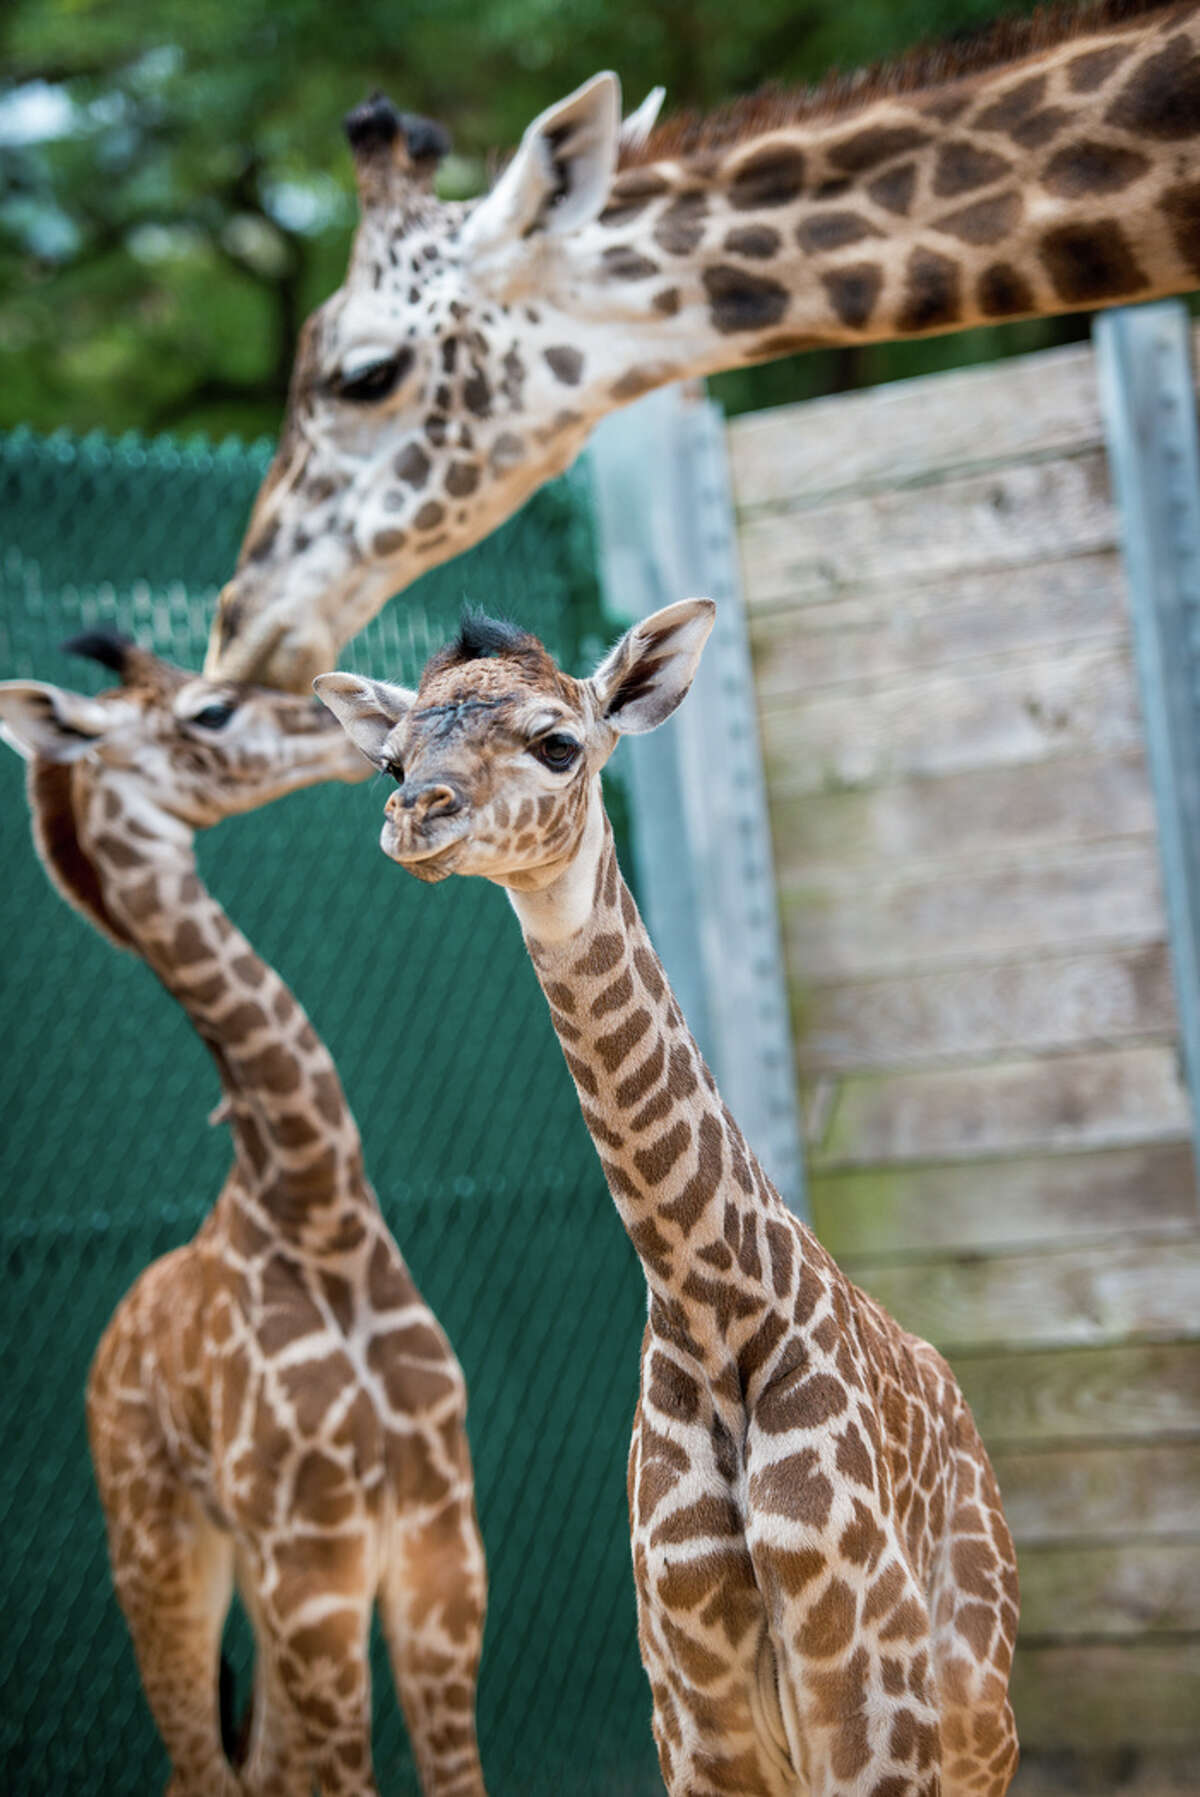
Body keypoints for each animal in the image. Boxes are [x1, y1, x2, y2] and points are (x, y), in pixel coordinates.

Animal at [0, 635, 489, 1797]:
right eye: (210, 712)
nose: (354, 735)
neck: (318, 1220)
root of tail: (108, 1348)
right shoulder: (316, 1569)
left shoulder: (440, 1553)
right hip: (163, 1558)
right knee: (202, 1767)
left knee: (254, 1767)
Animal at [313, 604, 1021, 1797]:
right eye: (391, 760)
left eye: (560, 742)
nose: (415, 816)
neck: (713, 1319)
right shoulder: (694, 1719)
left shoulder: (874, 1713)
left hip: (976, 1724)